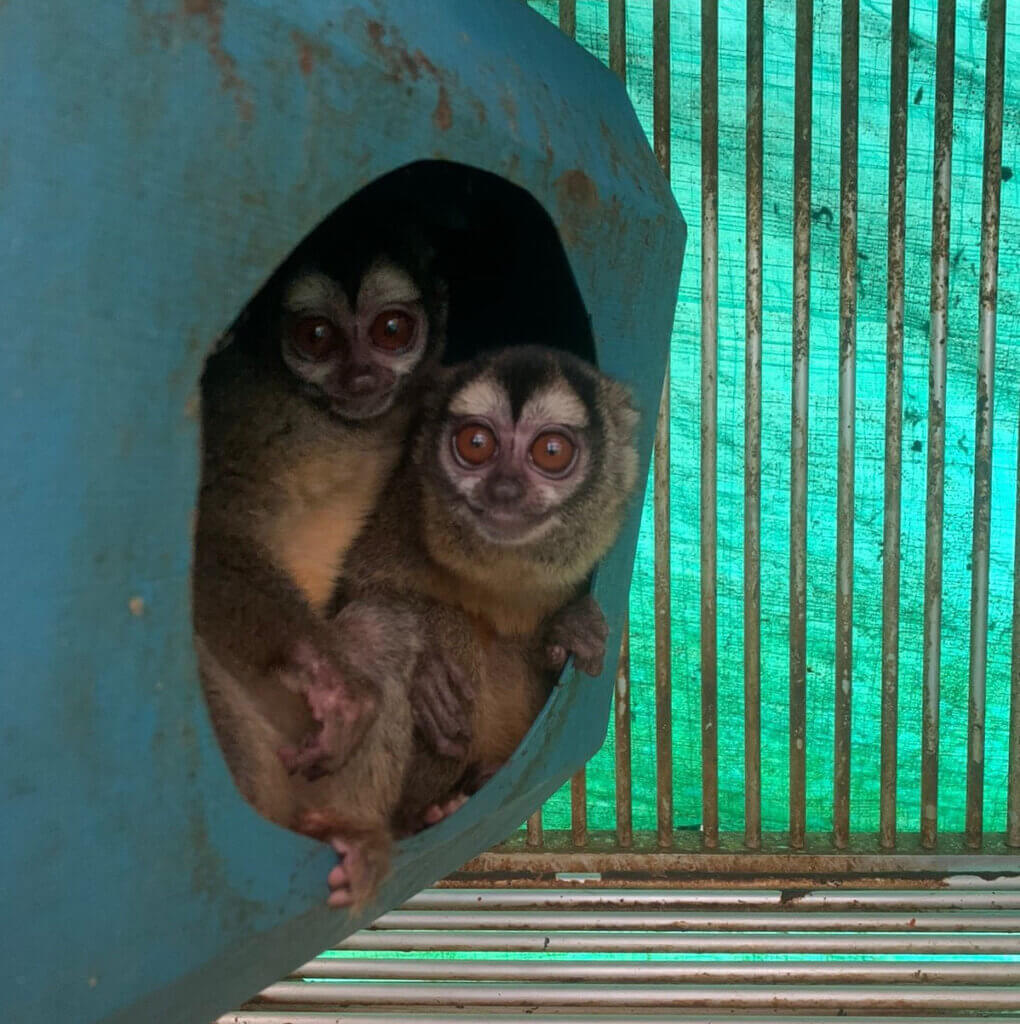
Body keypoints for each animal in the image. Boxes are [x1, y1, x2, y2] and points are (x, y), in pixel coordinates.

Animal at [191, 210, 454, 834]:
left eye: (391, 330)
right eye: (315, 337)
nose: (360, 378)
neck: (334, 425)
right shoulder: (244, 416)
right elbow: (208, 532)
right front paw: (342, 691)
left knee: (382, 627)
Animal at [289, 345, 640, 909]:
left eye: (552, 451)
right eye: (476, 444)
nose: (505, 489)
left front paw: (573, 628)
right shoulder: (396, 511)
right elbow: (358, 603)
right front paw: (431, 668)